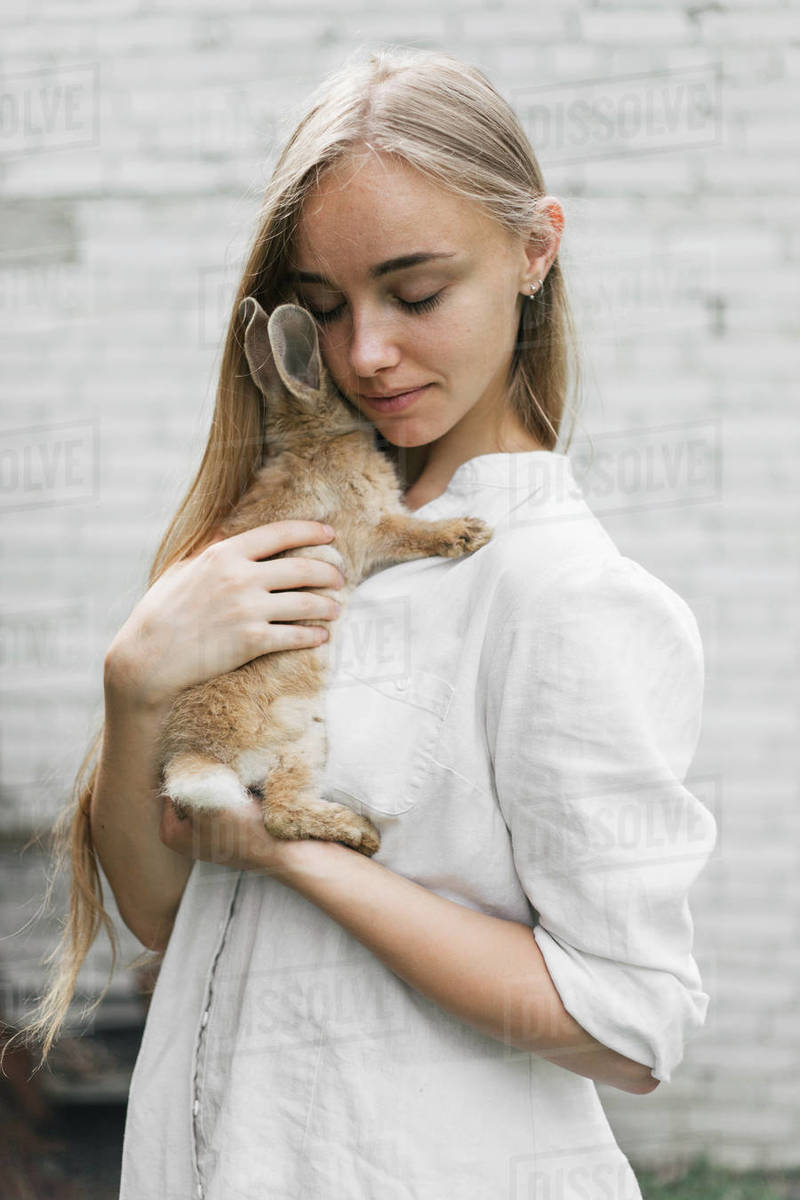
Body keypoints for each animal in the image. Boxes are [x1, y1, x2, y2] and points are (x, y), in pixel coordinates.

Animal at [157, 295, 493, 857]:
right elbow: (411, 533)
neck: (313, 437)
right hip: (303, 740)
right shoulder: (373, 529)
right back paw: (362, 833)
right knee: (280, 815)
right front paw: (468, 532)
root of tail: (199, 758)